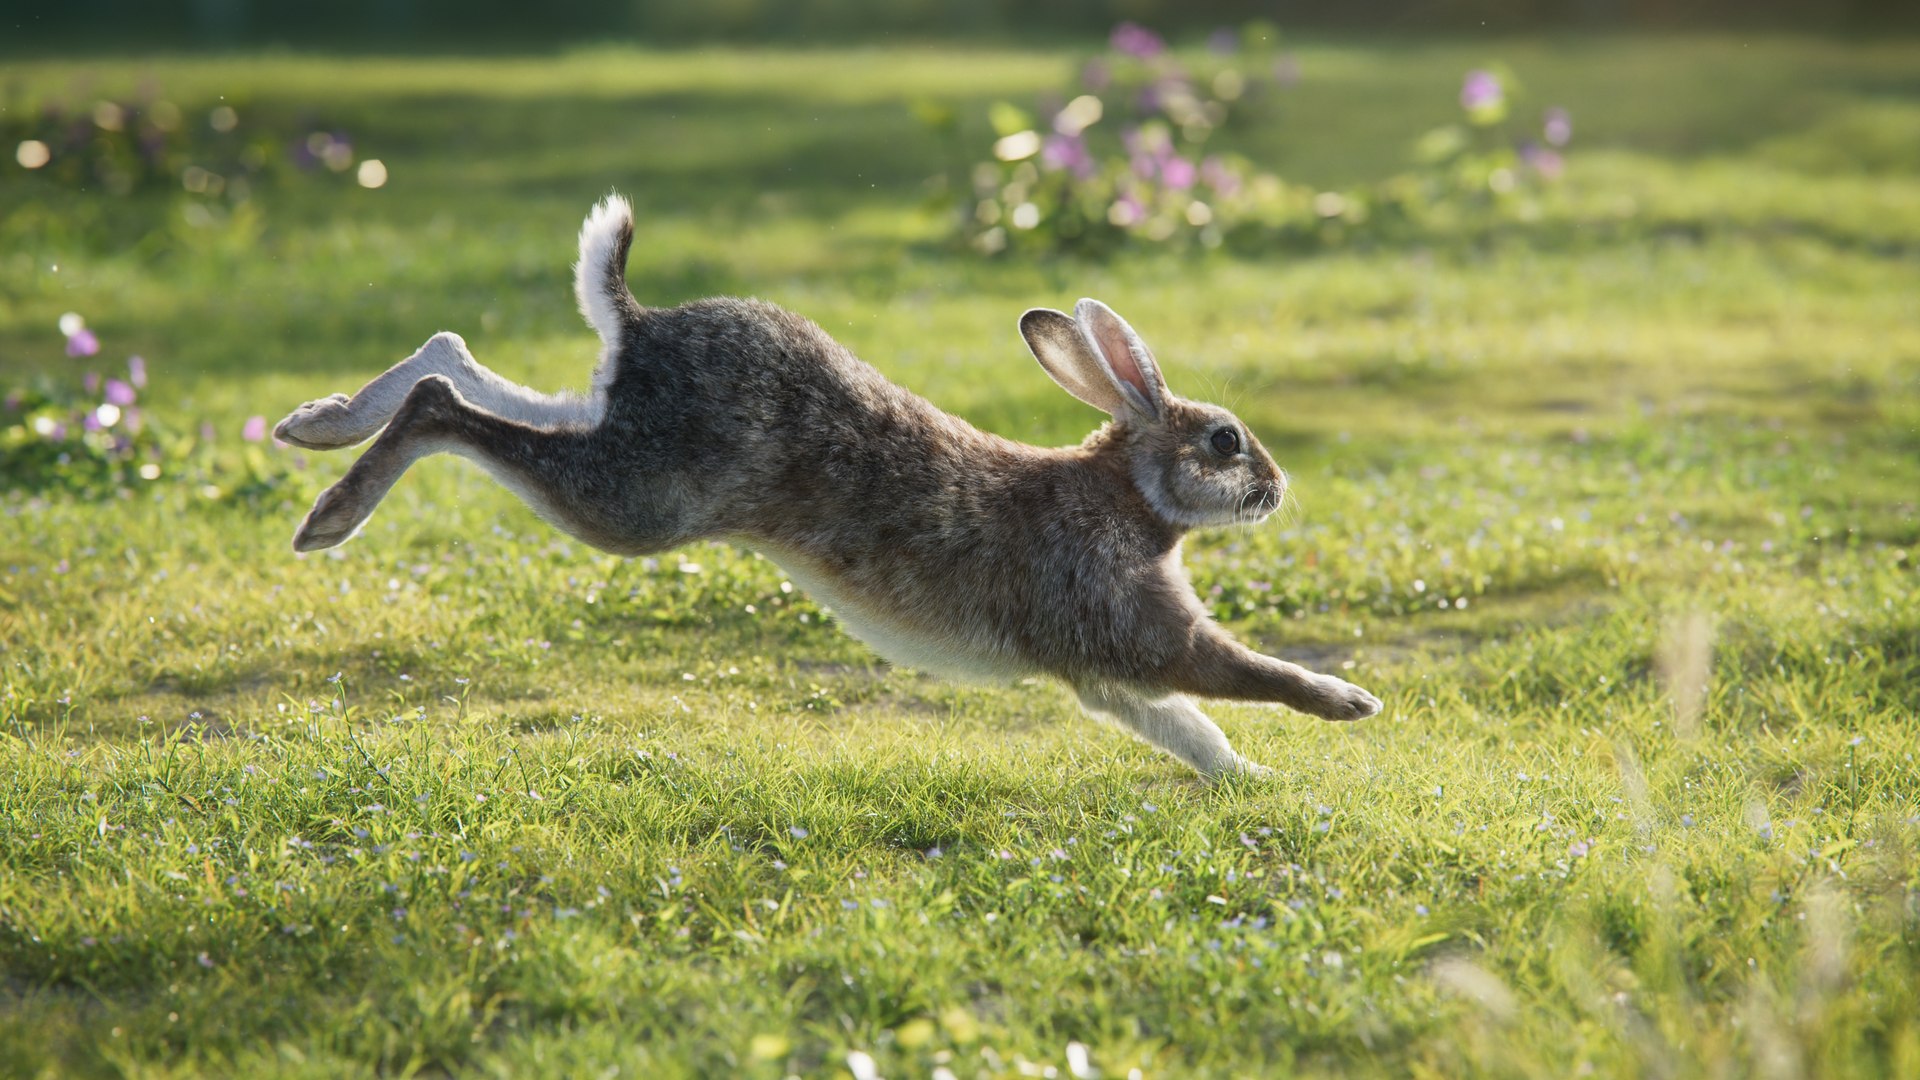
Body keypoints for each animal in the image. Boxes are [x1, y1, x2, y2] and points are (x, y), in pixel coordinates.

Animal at [275, 194, 1383, 778]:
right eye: (1225, 441)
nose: (1277, 486)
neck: (1128, 495)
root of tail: (641, 324)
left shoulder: (1110, 676)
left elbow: (1189, 731)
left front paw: (1251, 779)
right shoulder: (1133, 627)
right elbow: (1237, 676)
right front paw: (1347, 704)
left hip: (613, 436)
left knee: (455, 361)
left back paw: (315, 424)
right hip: (637, 505)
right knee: (442, 409)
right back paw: (328, 515)